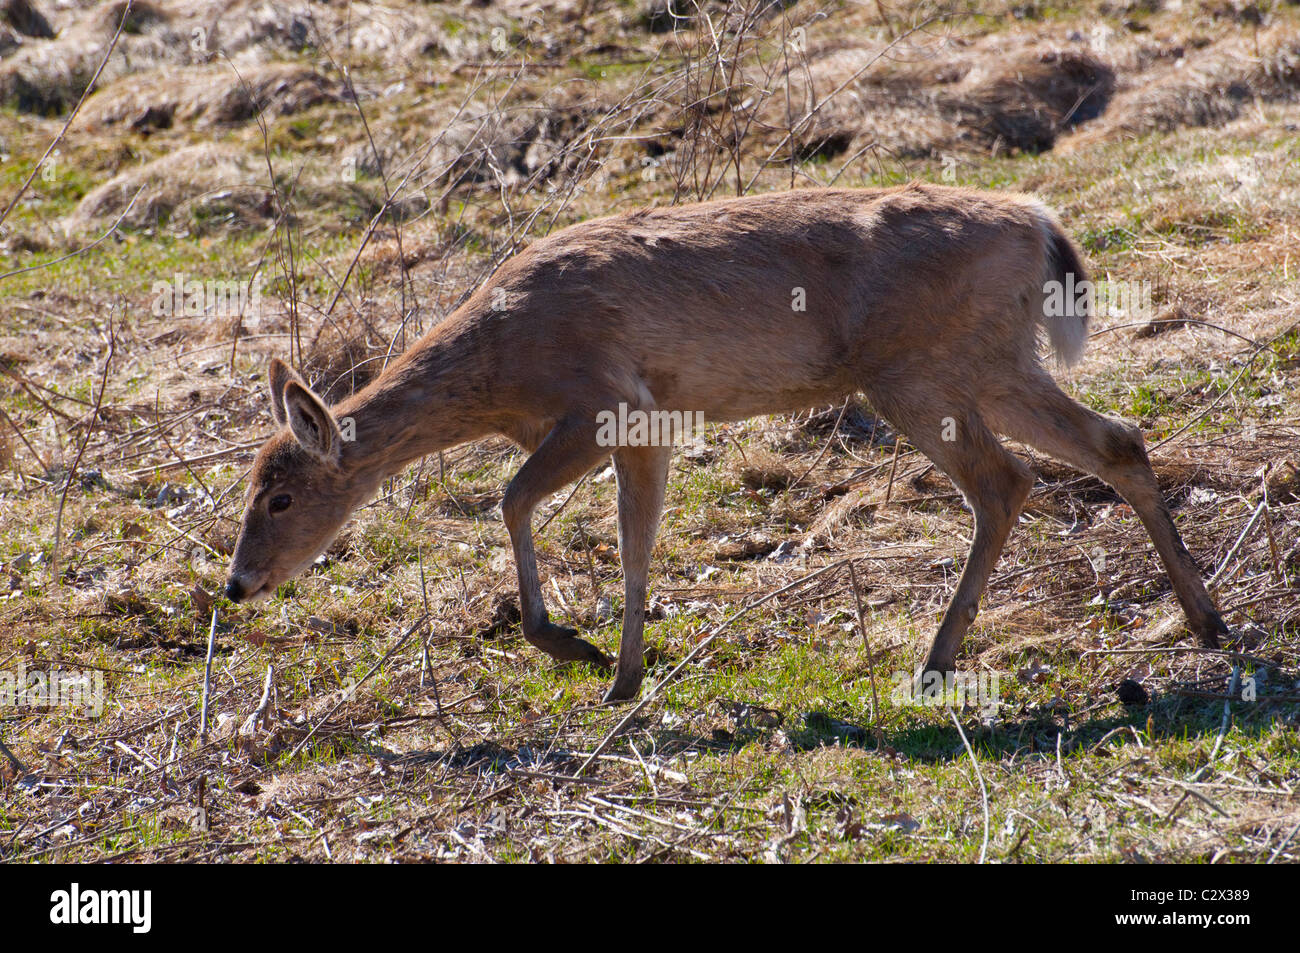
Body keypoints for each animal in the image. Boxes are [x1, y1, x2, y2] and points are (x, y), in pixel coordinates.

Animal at [225, 183, 1230, 703]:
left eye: (280, 494)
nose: (237, 584)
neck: (501, 365)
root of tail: (1043, 222)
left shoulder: (608, 402)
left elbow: (526, 505)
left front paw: (585, 654)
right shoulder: (648, 419)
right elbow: (633, 539)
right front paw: (622, 667)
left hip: (919, 371)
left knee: (1004, 480)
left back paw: (937, 658)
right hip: (987, 362)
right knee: (1110, 442)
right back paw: (1207, 622)